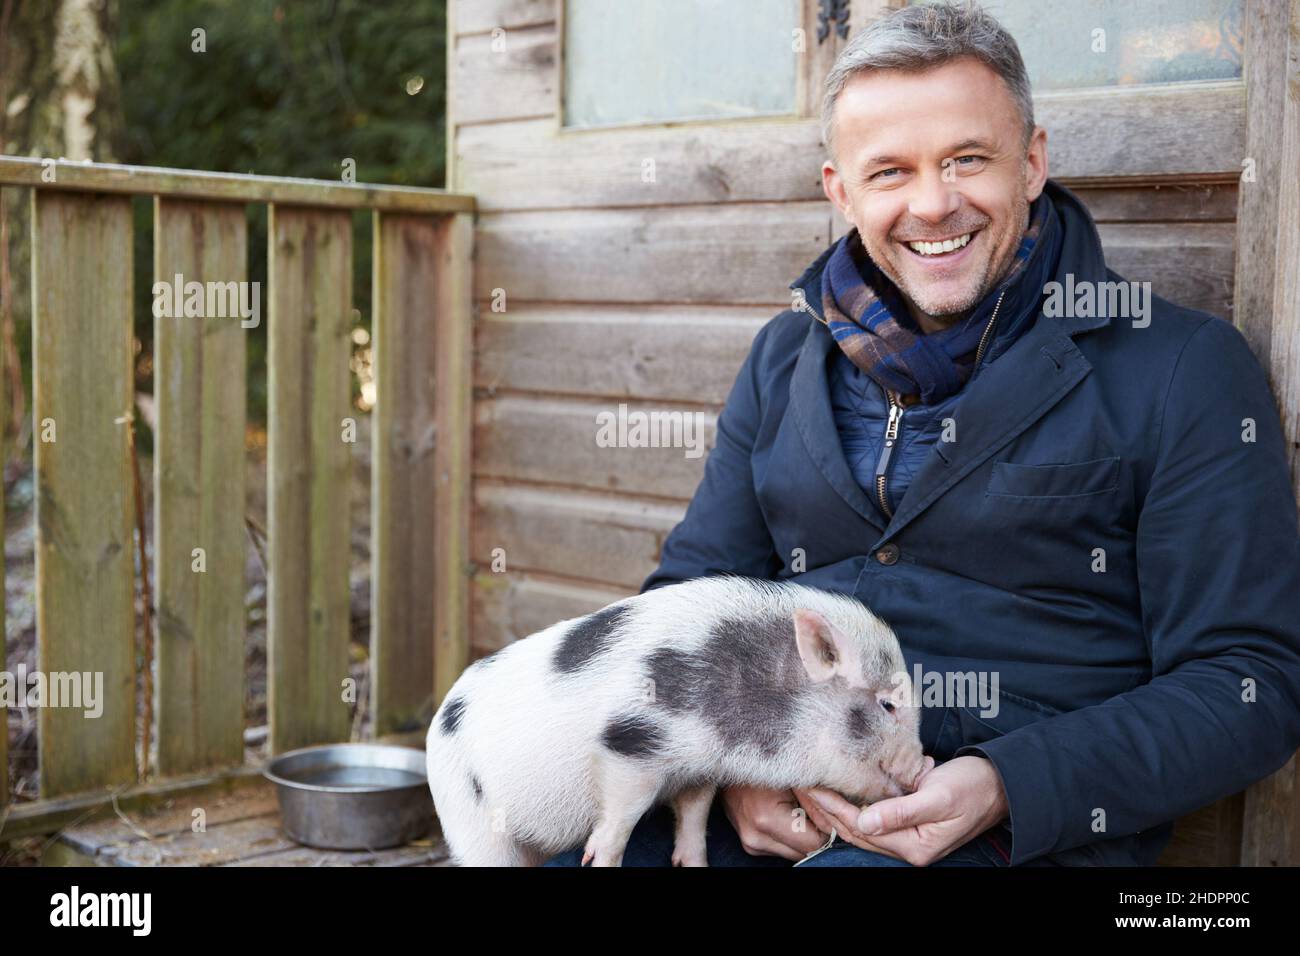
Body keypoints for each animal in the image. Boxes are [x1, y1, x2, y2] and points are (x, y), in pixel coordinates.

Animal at [425, 573, 926, 867]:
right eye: (888, 704)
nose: (923, 765)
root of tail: (437, 724)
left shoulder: (700, 765)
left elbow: (695, 812)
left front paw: (692, 863)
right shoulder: (630, 742)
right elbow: (622, 816)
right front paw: (597, 860)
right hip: (471, 824)